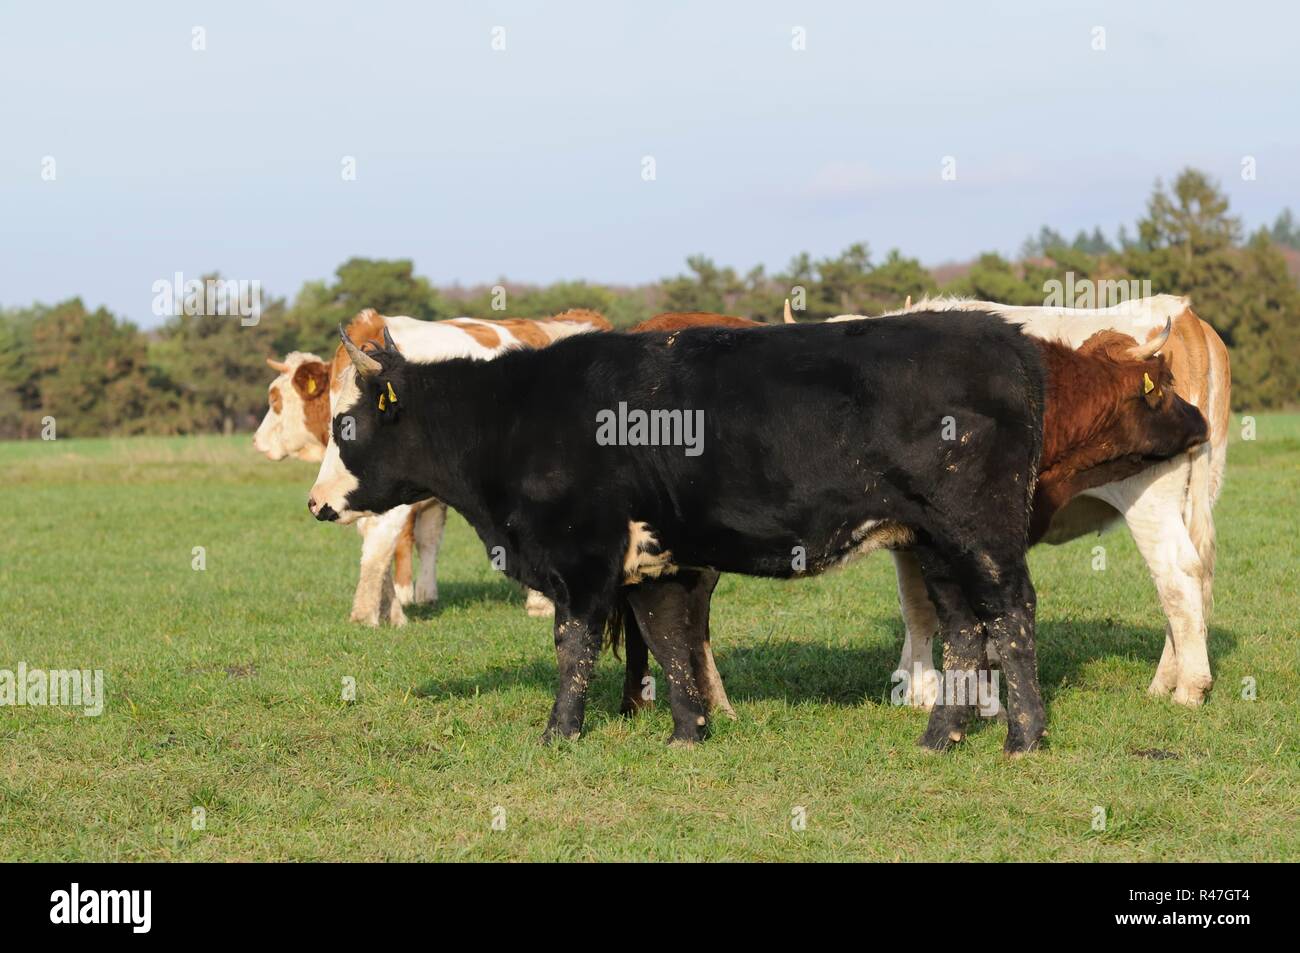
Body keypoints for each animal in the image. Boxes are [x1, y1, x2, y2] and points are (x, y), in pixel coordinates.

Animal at [305, 311, 1193, 754]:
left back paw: (1025, 736)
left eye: (347, 425)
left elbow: (576, 647)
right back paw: (942, 737)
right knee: (968, 629)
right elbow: (668, 642)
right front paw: (687, 733)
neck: (518, 417)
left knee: (1012, 613)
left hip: (979, 532)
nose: (314, 505)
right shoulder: (653, 558)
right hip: (935, 543)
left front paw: (560, 733)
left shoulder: (583, 559)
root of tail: (1004, 336)